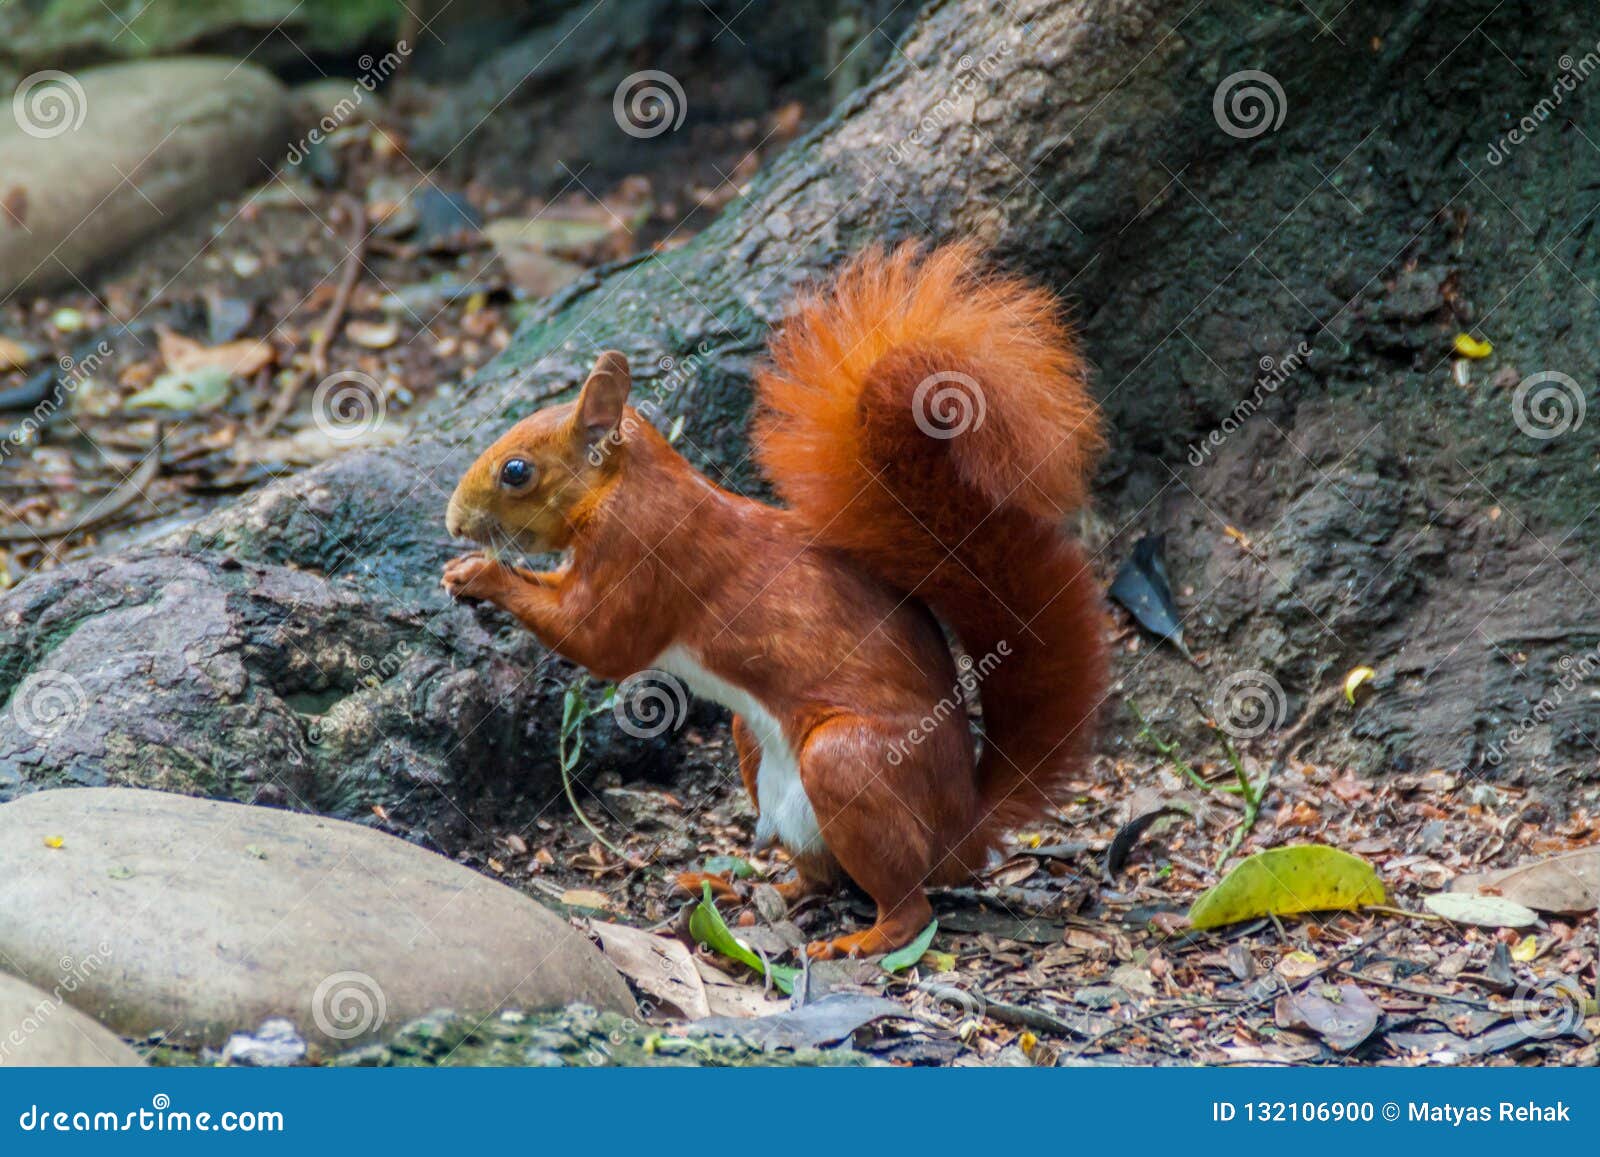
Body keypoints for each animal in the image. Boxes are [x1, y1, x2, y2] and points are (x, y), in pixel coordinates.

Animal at [442, 242, 1107, 959]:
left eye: (517, 471)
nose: (453, 522)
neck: (628, 486)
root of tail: (961, 833)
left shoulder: (646, 553)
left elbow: (601, 641)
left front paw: (481, 574)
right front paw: (460, 571)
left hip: (847, 763)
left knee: (910, 903)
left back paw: (860, 940)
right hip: (761, 755)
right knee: (819, 877)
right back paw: (740, 889)